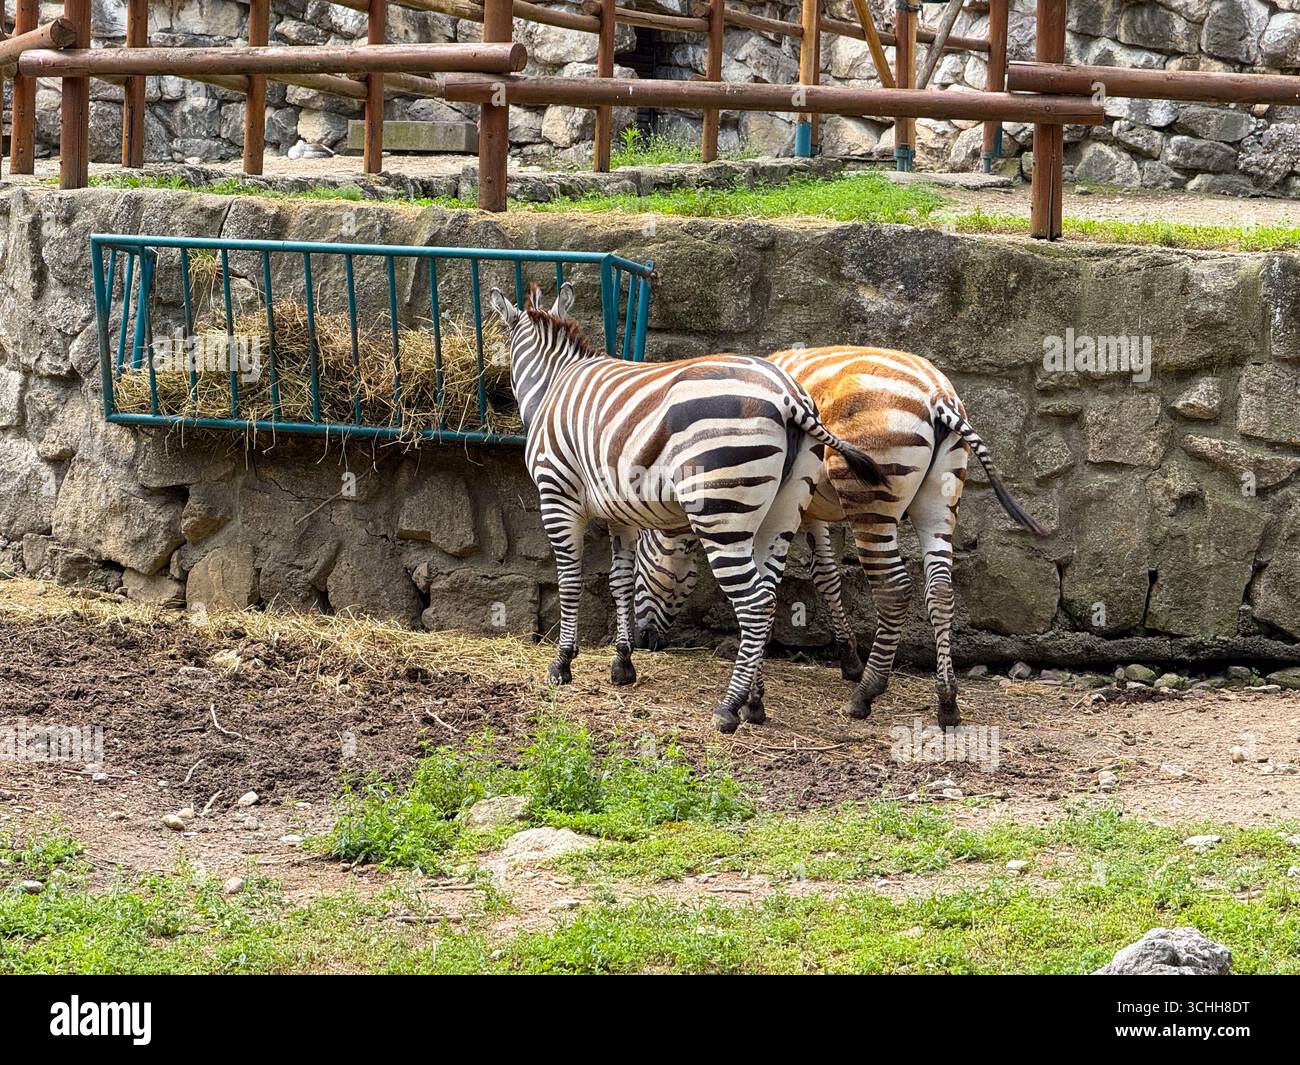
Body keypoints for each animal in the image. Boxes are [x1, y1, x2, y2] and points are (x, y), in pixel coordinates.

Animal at [488, 285, 886, 733]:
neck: (554, 383)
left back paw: (729, 707)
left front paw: (562, 663)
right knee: (767, 598)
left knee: (754, 604)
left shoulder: (557, 496)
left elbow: (570, 581)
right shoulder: (621, 515)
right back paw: (755, 704)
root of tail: (788, 396)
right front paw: (622, 663)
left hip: (720, 511)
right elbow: (620, 583)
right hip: (781, 514)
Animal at [633, 345, 1048, 728]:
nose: (644, 643)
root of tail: (938, 396)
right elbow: (827, 576)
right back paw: (947, 701)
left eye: (641, 572)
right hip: (940, 500)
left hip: (872, 503)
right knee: (941, 590)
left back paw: (867, 693)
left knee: (894, 590)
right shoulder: (808, 509)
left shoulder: (788, 508)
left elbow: (793, 581)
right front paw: (848, 657)